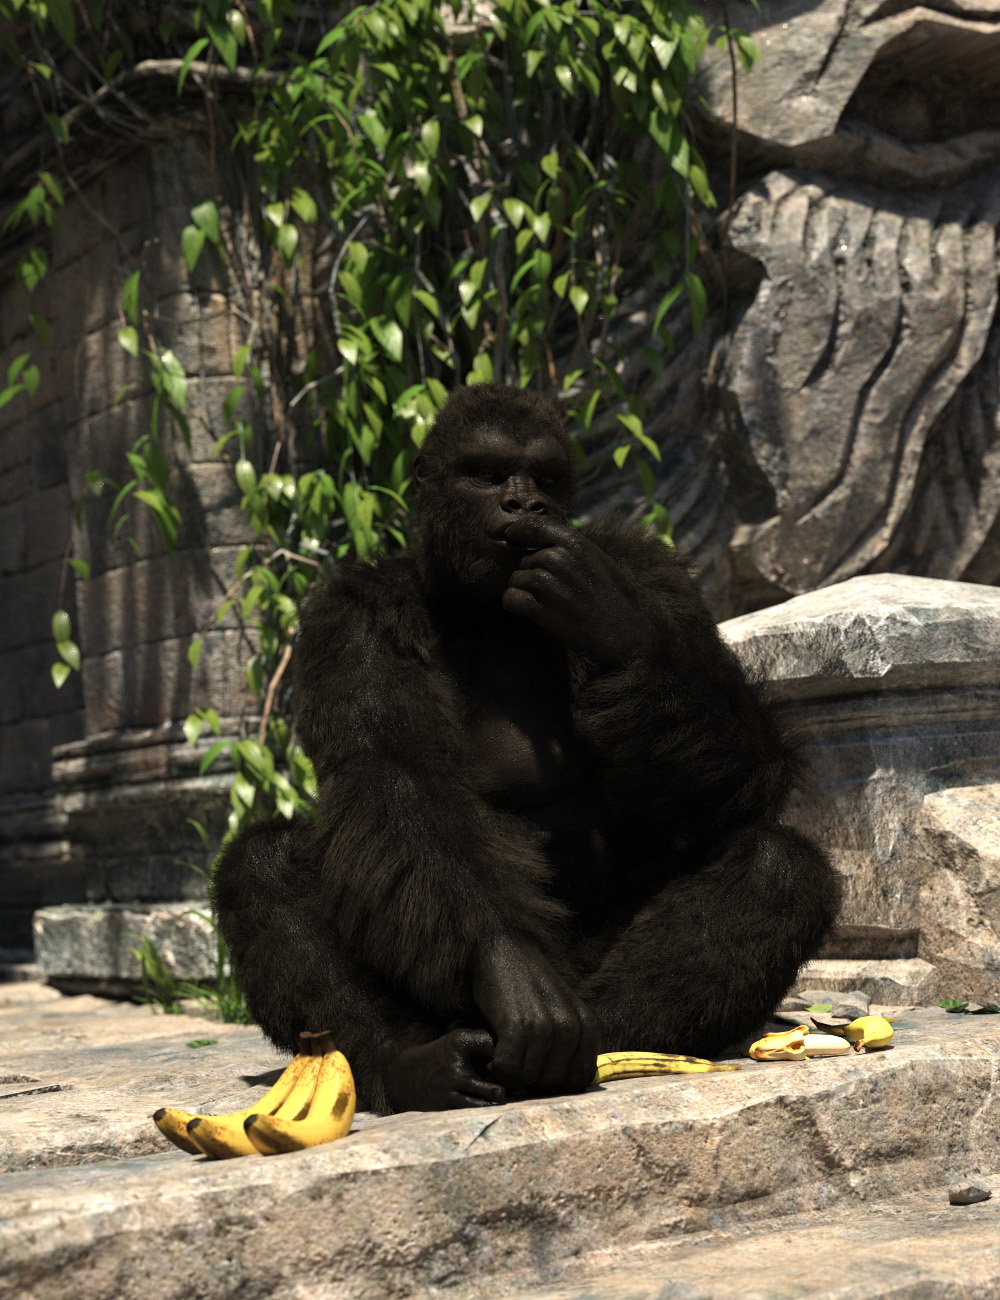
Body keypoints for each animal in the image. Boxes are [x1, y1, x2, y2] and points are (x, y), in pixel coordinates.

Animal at [213, 382, 840, 1115]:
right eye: (488, 474)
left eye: (544, 478)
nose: (526, 507)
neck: (479, 608)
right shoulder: (352, 617)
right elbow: (395, 775)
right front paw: (507, 969)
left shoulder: (652, 572)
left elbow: (739, 776)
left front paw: (606, 616)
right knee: (263, 863)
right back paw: (412, 1066)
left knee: (776, 866)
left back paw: (603, 1046)